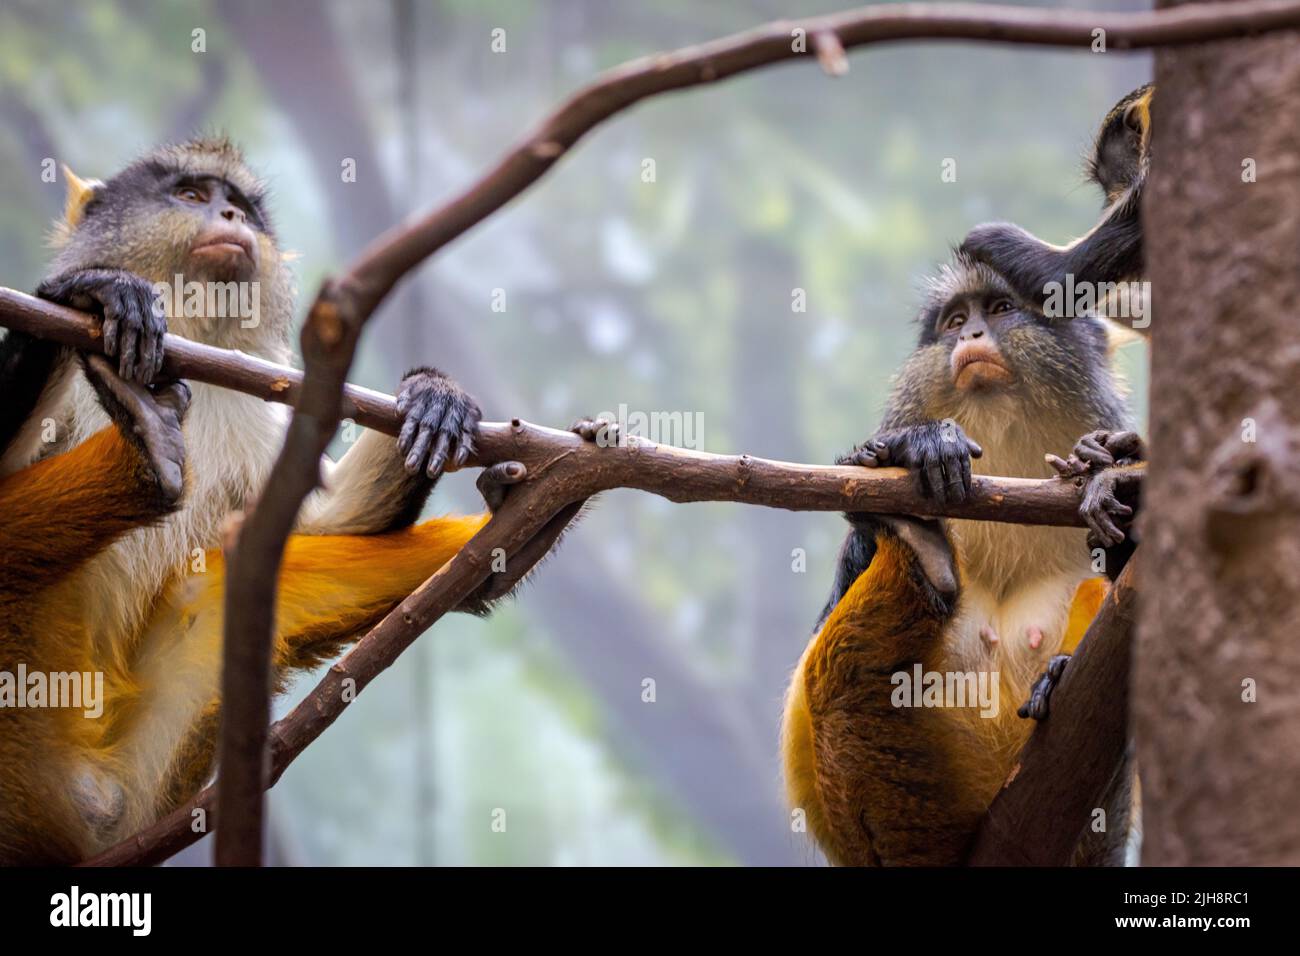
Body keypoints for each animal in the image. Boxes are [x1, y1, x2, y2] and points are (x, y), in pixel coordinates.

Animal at [780, 253, 1141, 866]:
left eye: (999, 309)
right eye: (954, 321)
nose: (971, 335)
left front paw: (1113, 468)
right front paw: (920, 447)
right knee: (831, 679)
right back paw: (921, 547)